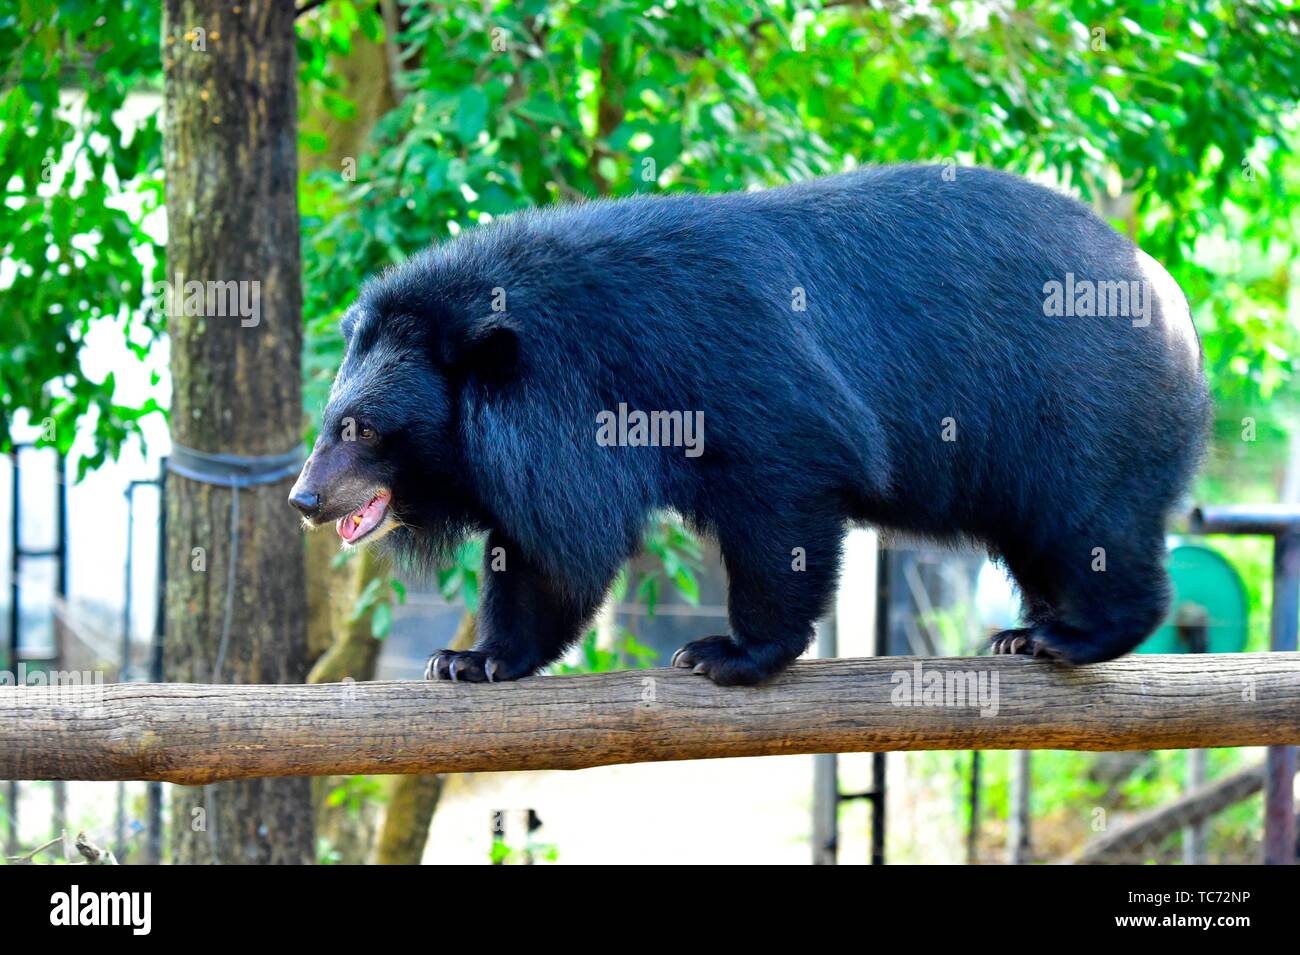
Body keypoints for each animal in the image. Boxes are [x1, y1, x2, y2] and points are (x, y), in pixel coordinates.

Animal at [289, 164, 1210, 686]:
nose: (304, 499)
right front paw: (472, 658)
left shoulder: (740, 376)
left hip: (1081, 409)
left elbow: (780, 503)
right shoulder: (542, 456)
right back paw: (1026, 634)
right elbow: (540, 561)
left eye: (363, 429)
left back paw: (1071, 636)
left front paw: (725, 652)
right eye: (330, 423)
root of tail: (1169, 296)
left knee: (1090, 526)